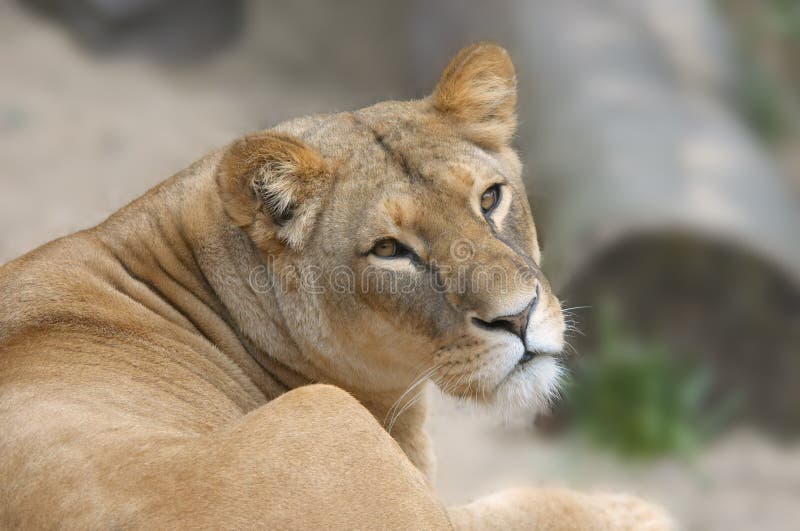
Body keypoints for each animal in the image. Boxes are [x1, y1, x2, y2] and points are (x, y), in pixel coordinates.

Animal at [0, 43, 672, 529]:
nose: (519, 316)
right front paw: (632, 509)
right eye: (390, 250)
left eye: (489, 199)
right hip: (324, 414)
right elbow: (524, 507)